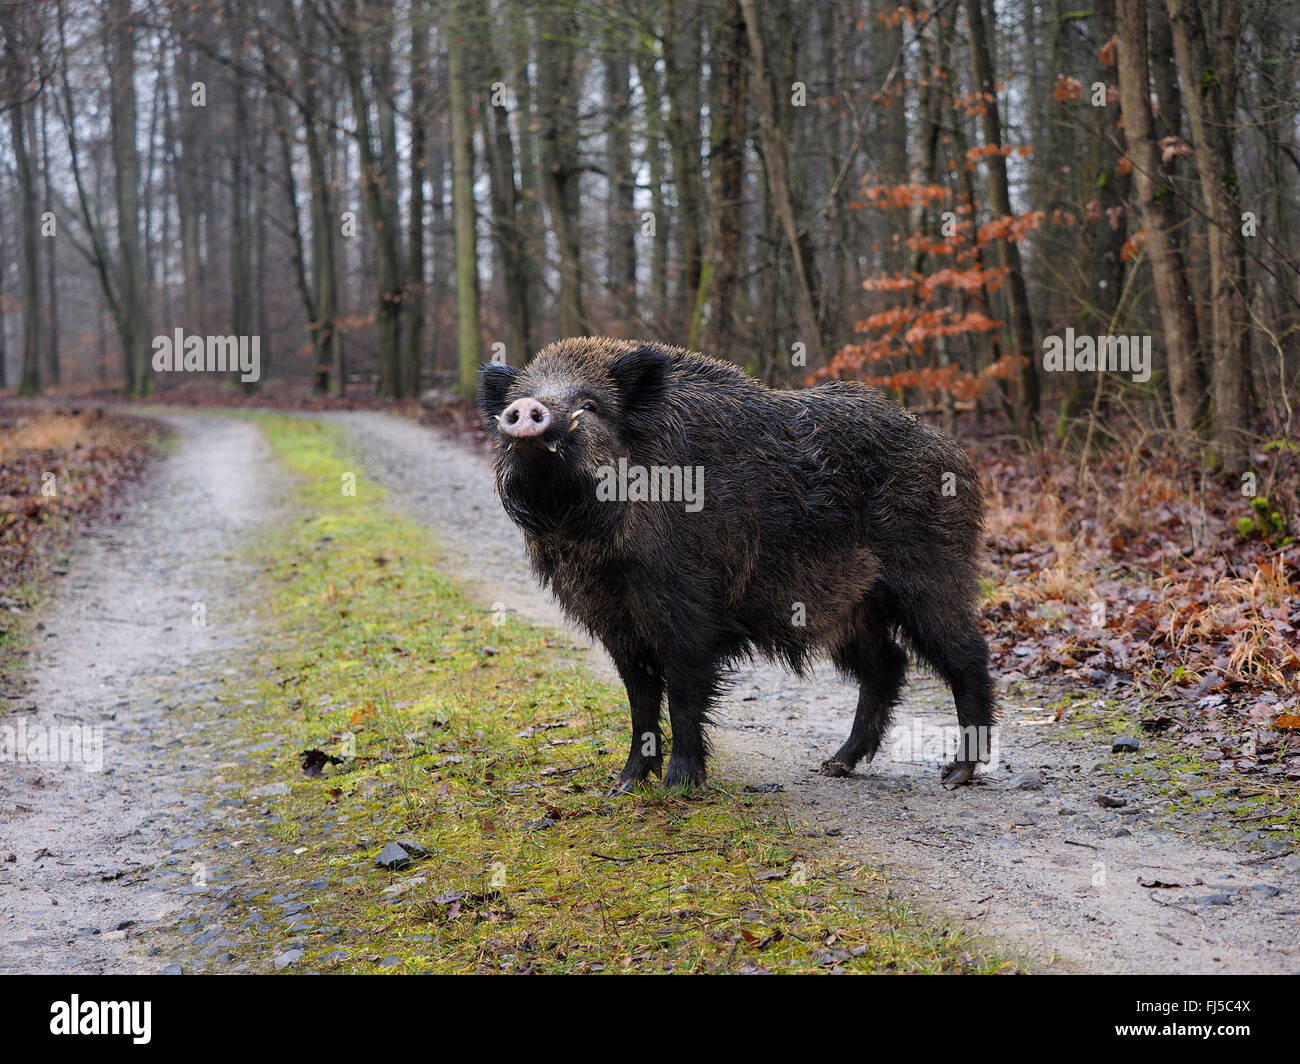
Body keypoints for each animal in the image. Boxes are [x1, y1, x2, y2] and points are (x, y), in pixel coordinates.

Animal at [477, 338, 996, 791]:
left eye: (590, 405)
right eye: (519, 398)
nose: (526, 409)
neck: (594, 545)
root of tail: (955, 455)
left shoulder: (689, 606)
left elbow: (684, 693)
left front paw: (680, 786)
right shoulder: (613, 621)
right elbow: (639, 699)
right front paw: (623, 786)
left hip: (932, 573)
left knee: (967, 655)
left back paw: (955, 775)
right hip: (851, 606)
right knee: (887, 665)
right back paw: (834, 765)